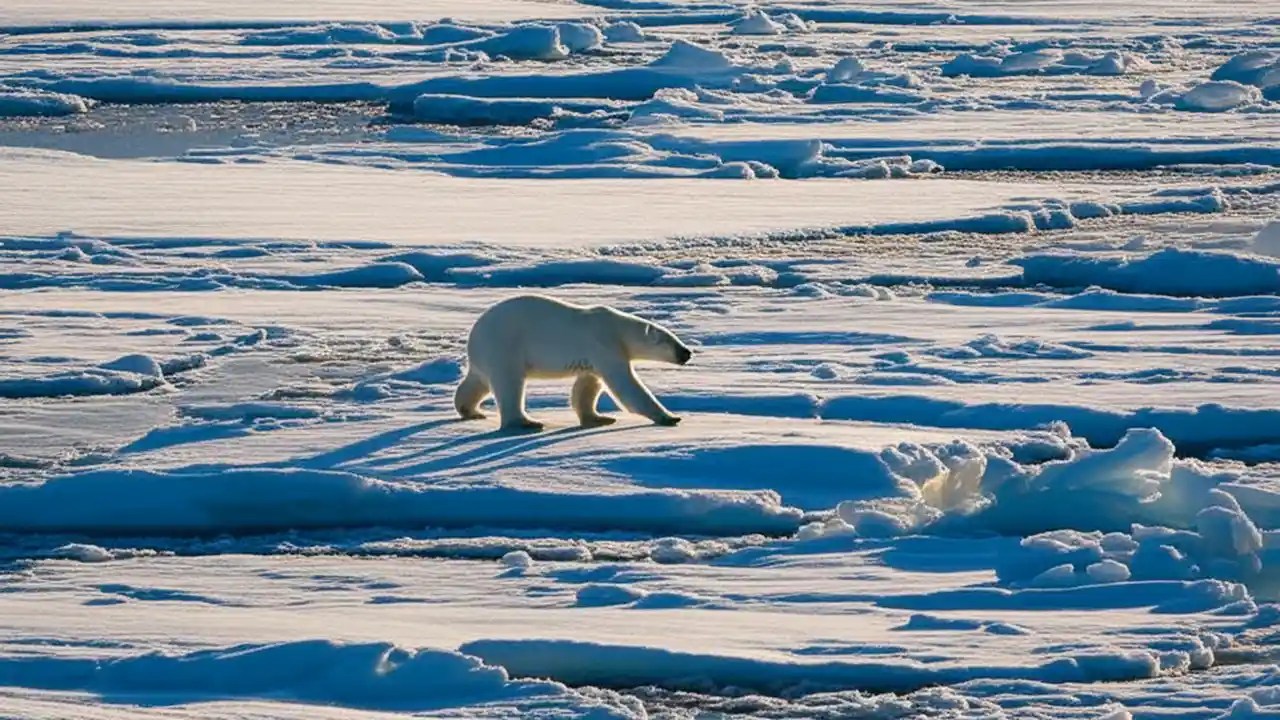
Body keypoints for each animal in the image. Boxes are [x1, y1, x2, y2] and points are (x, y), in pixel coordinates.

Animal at [454, 294, 692, 431]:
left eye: (677, 338)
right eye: (673, 342)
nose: (687, 353)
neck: (618, 329)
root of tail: (473, 337)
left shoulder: (594, 357)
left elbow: (586, 386)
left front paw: (598, 418)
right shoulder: (604, 345)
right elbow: (627, 386)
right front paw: (670, 417)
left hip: (487, 357)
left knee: (478, 382)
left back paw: (470, 410)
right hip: (504, 346)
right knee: (509, 383)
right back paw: (526, 423)